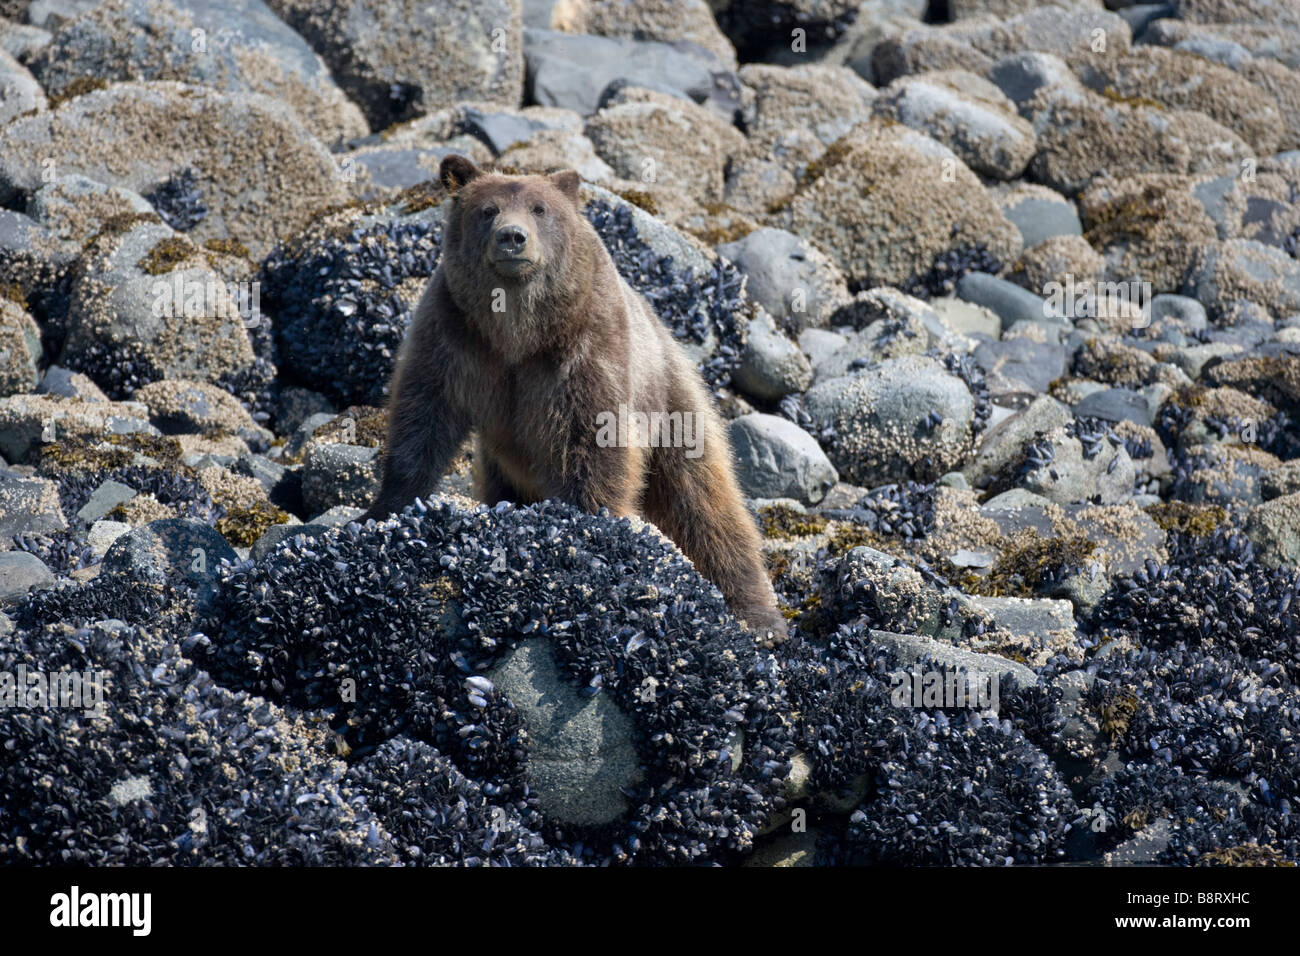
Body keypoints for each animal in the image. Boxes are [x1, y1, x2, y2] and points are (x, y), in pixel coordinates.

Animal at [361, 155, 787, 644]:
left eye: (540, 208)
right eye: (487, 210)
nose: (513, 237)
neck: (516, 331)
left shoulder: (583, 347)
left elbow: (592, 440)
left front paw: (588, 531)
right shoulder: (454, 336)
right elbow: (422, 417)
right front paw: (383, 510)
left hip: (672, 403)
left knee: (705, 502)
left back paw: (758, 614)